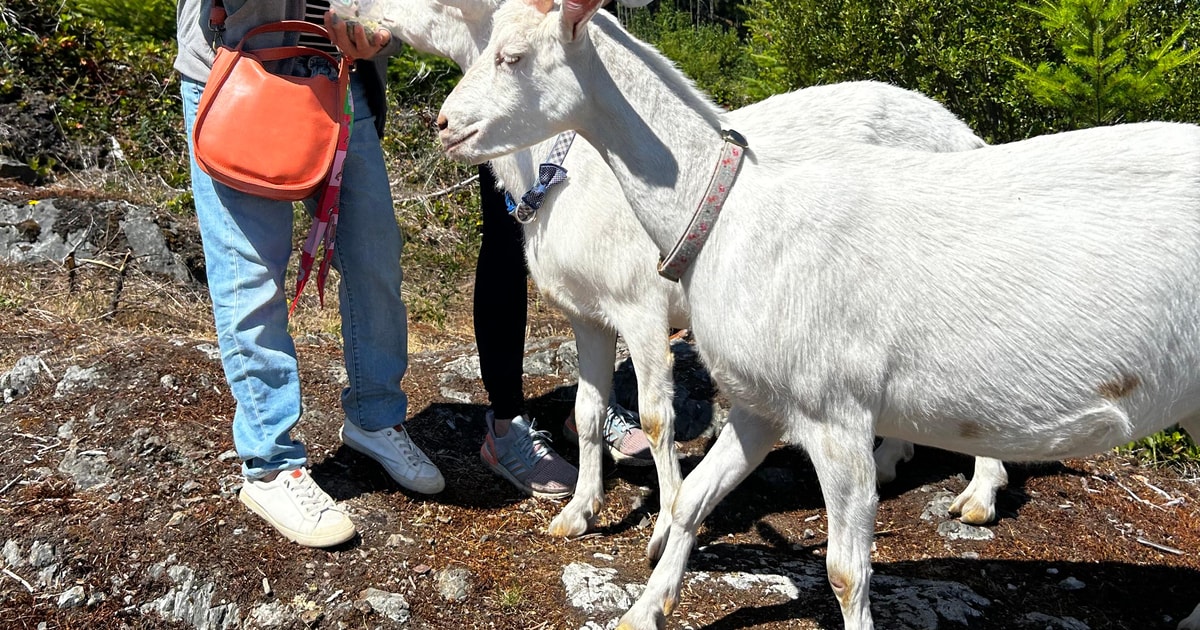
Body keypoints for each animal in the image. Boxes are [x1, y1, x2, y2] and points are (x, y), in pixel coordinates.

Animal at [364, 0, 1011, 535]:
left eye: (513, 57)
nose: (445, 125)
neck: (568, 169)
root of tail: (968, 137)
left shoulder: (641, 305)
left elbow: (656, 417)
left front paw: (668, 521)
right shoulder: (586, 312)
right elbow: (587, 409)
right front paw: (578, 513)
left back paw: (980, 495)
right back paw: (889, 460)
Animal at [435, 0, 1200, 628]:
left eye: (512, 56)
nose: (444, 124)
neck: (730, 210)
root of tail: (965, 133)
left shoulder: (829, 411)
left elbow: (845, 571)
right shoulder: (757, 400)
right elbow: (684, 492)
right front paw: (640, 605)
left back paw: (978, 494)